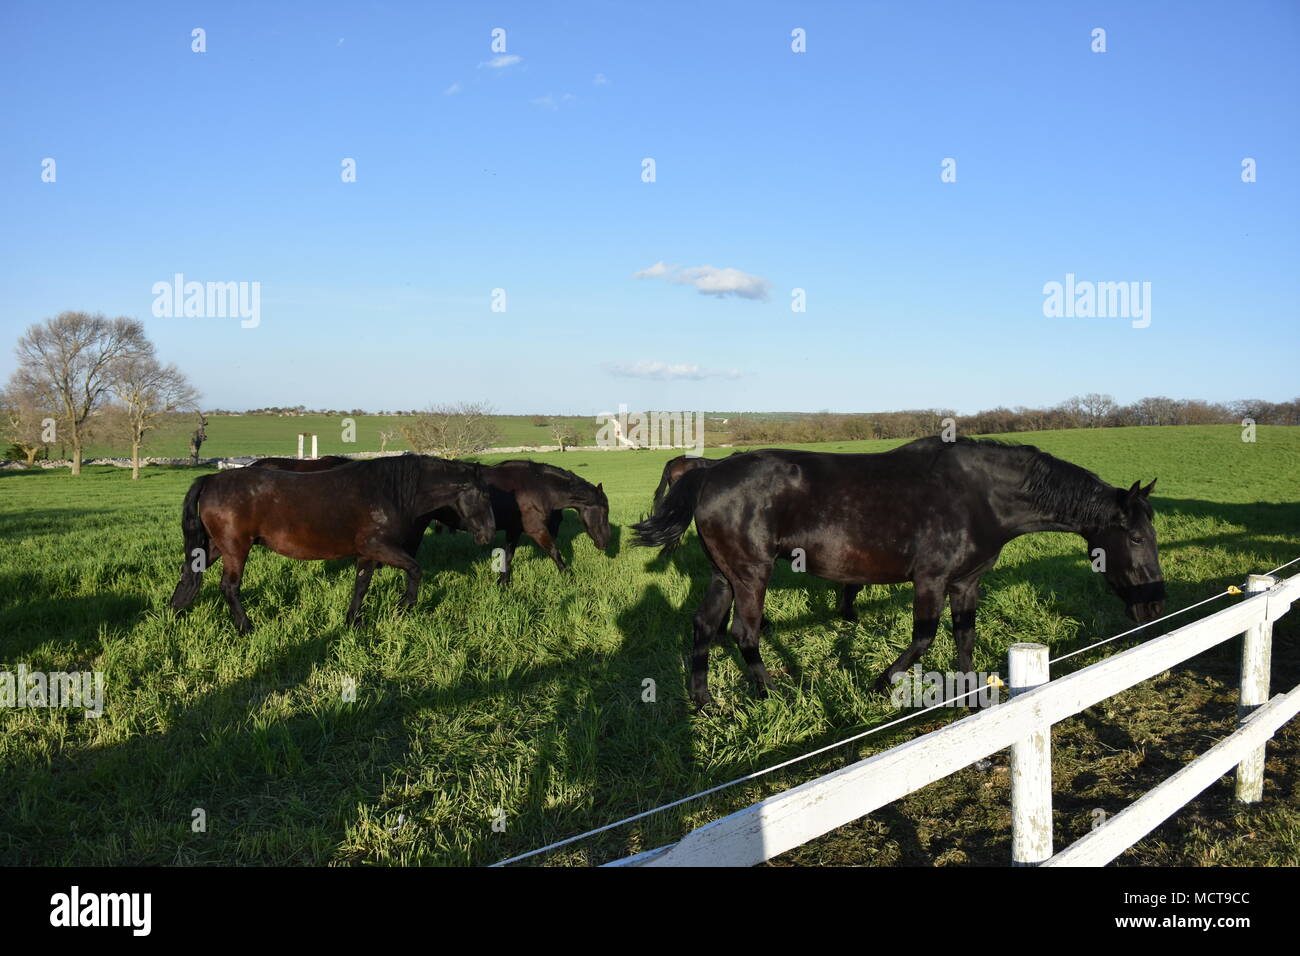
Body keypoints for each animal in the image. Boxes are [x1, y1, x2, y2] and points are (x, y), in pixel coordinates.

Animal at [168, 454, 495, 631]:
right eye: (483, 494)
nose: (489, 534)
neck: (390, 492)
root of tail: (210, 479)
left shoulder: (368, 552)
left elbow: (361, 584)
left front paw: (353, 621)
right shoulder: (380, 547)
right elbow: (415, 570)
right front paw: (404, 607)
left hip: (216, 547)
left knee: (189, 573)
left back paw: (175, 610)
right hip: (236, 548)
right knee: (230, 587)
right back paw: (246, 627)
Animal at [431, 459, 611, 585]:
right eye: (605, 512)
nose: (605, 542)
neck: (540, 486)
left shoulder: (514, 530)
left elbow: (508, 555)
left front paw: (503, 582)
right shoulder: (537, 529)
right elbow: (555, 552)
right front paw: (569, 576)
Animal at [632, 437, 1165, 708]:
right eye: (1137, 538)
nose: (1155, 606)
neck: (982, 495)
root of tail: (709, 471)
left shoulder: (966, 582)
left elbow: (964, 636)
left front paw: (971, 696)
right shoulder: (930, 580)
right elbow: (924, 637)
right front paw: (878, 683)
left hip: (725, 575)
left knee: (705, 626)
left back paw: (702, 701)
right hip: (751, 574)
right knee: (745, 631)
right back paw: (773, 696)